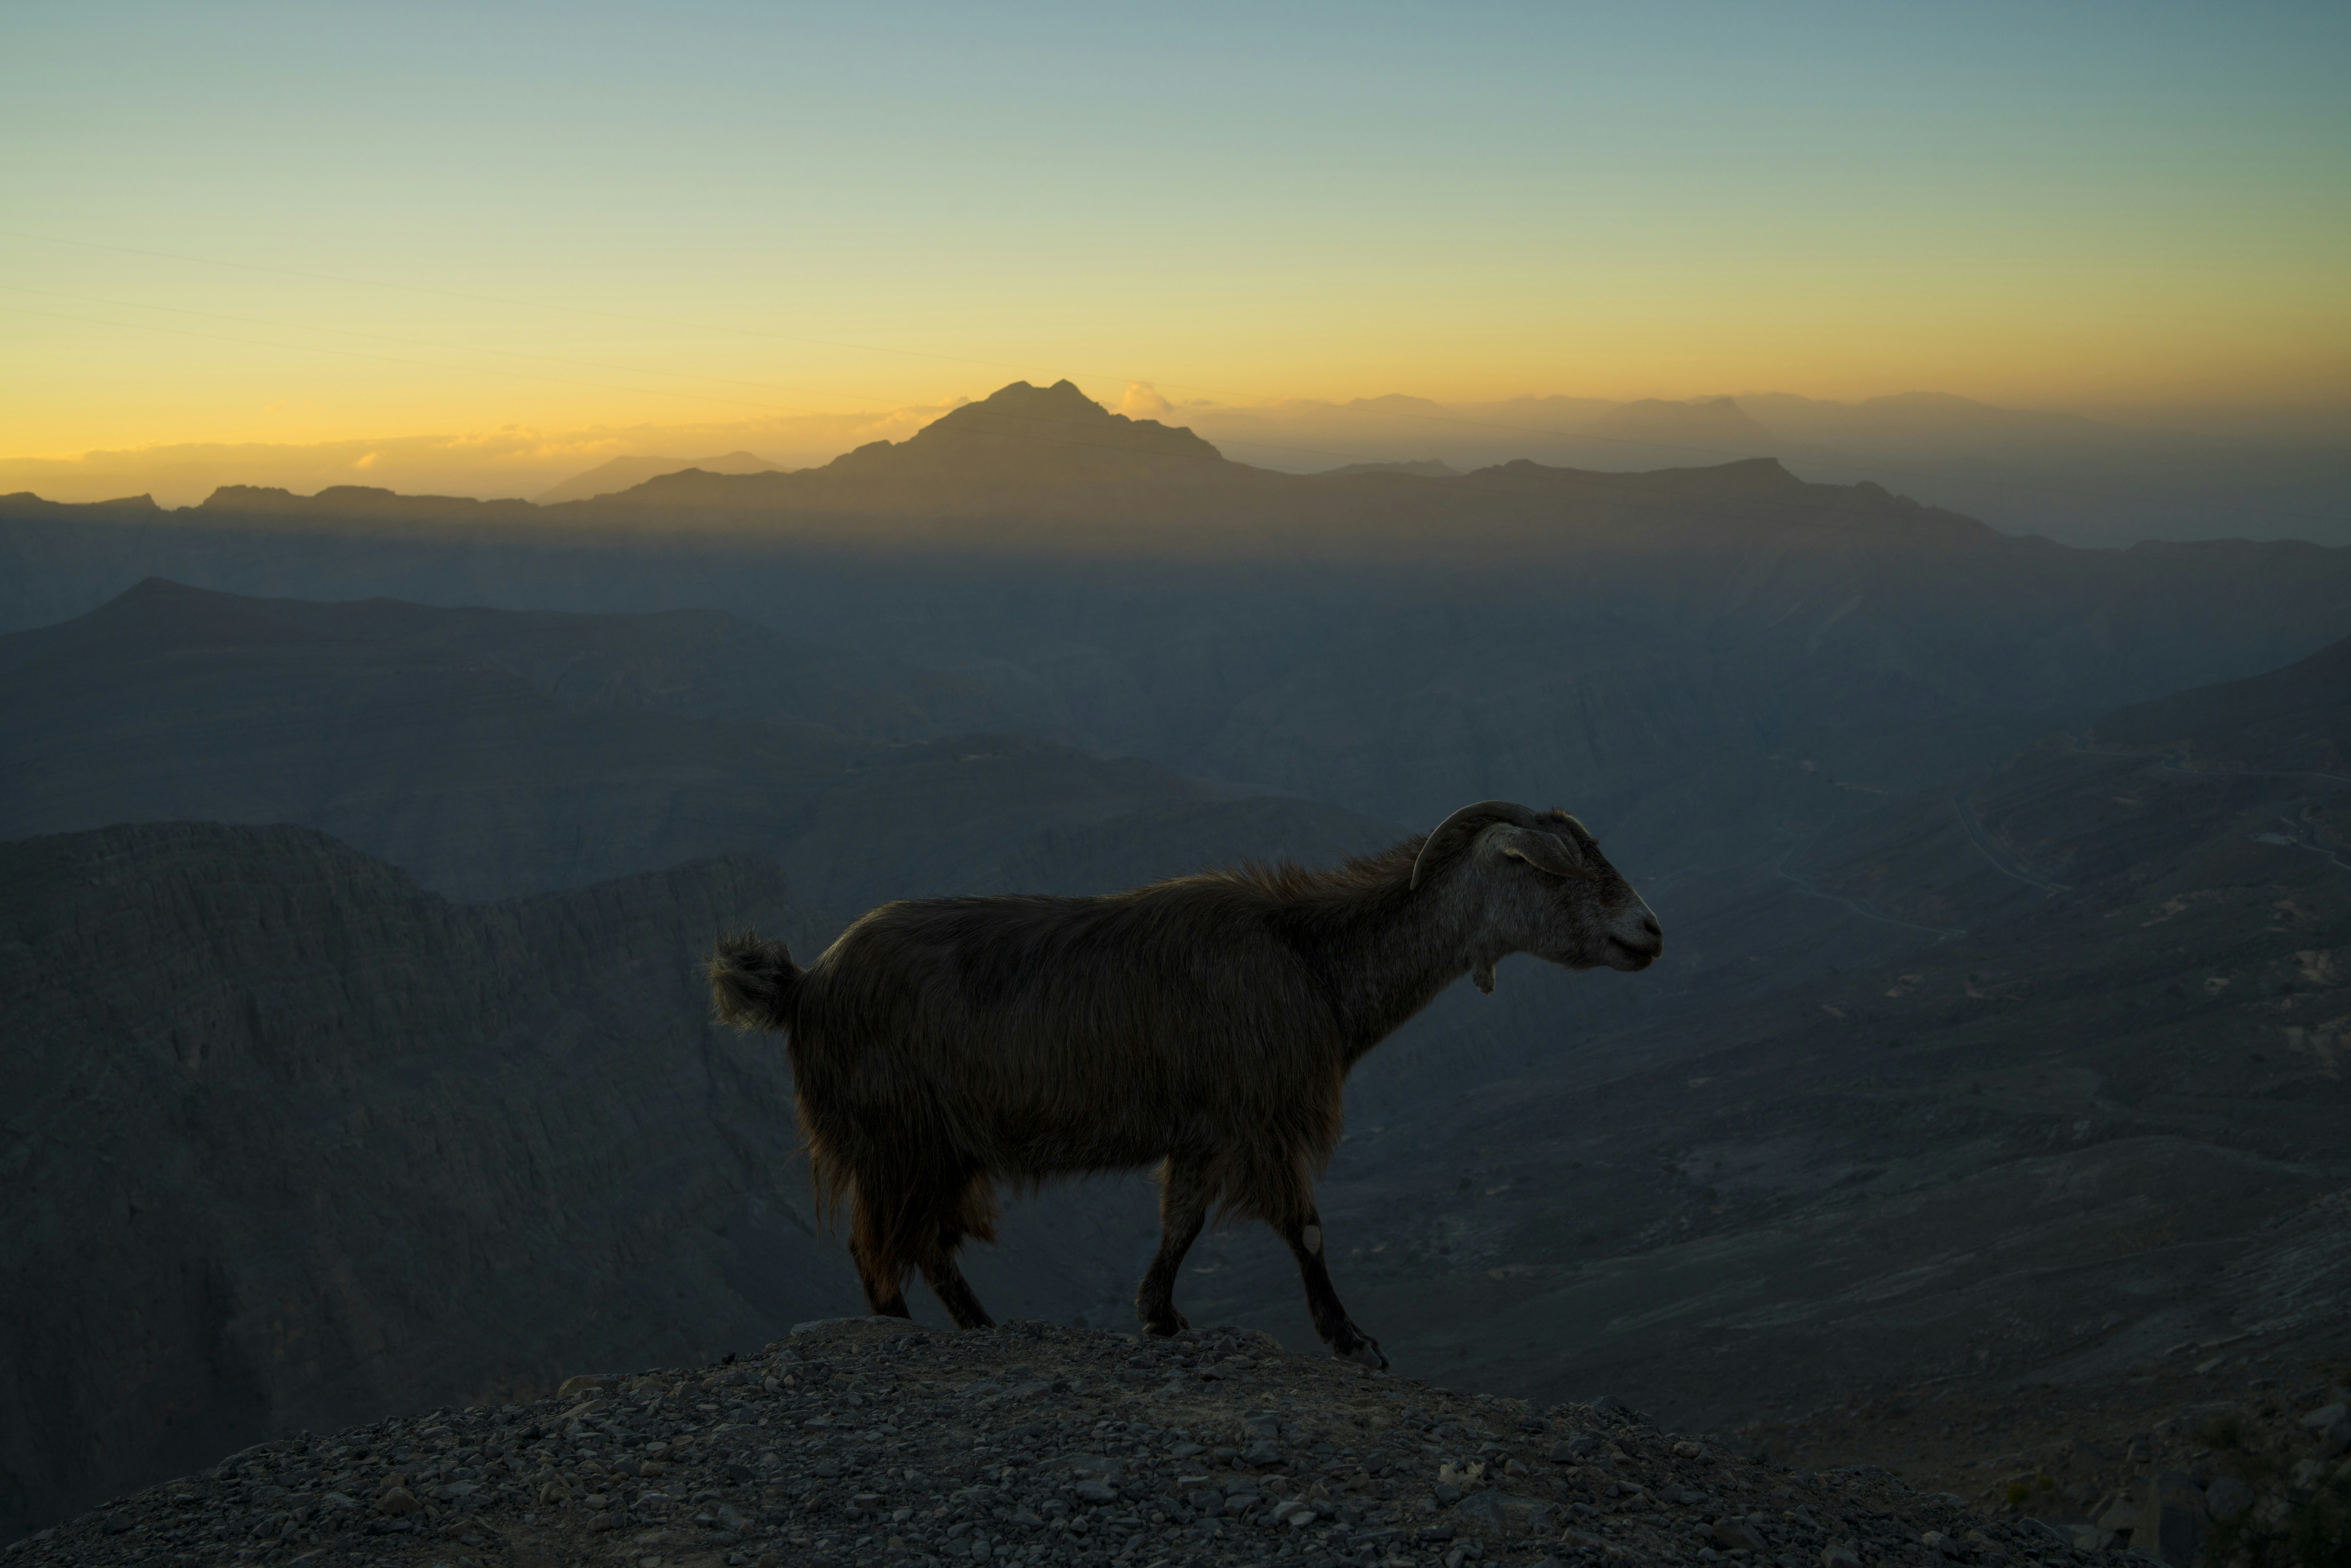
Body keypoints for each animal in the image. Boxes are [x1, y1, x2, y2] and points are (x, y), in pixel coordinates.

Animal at [708, 799, 1662, 1365]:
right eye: (1551, 868)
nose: (1648, 932)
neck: (1312, 960)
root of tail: (804, 987)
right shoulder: (1260, 1115)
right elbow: (1306, 1227)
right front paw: (1351, 1338)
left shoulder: (1204, 1131)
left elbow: (1183, 1222)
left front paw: (1159, 1316)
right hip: (896, 1135)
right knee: (881, 1245)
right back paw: (910, 1331)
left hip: (932, 1145)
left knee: (924, 1244)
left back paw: (980, 1326)